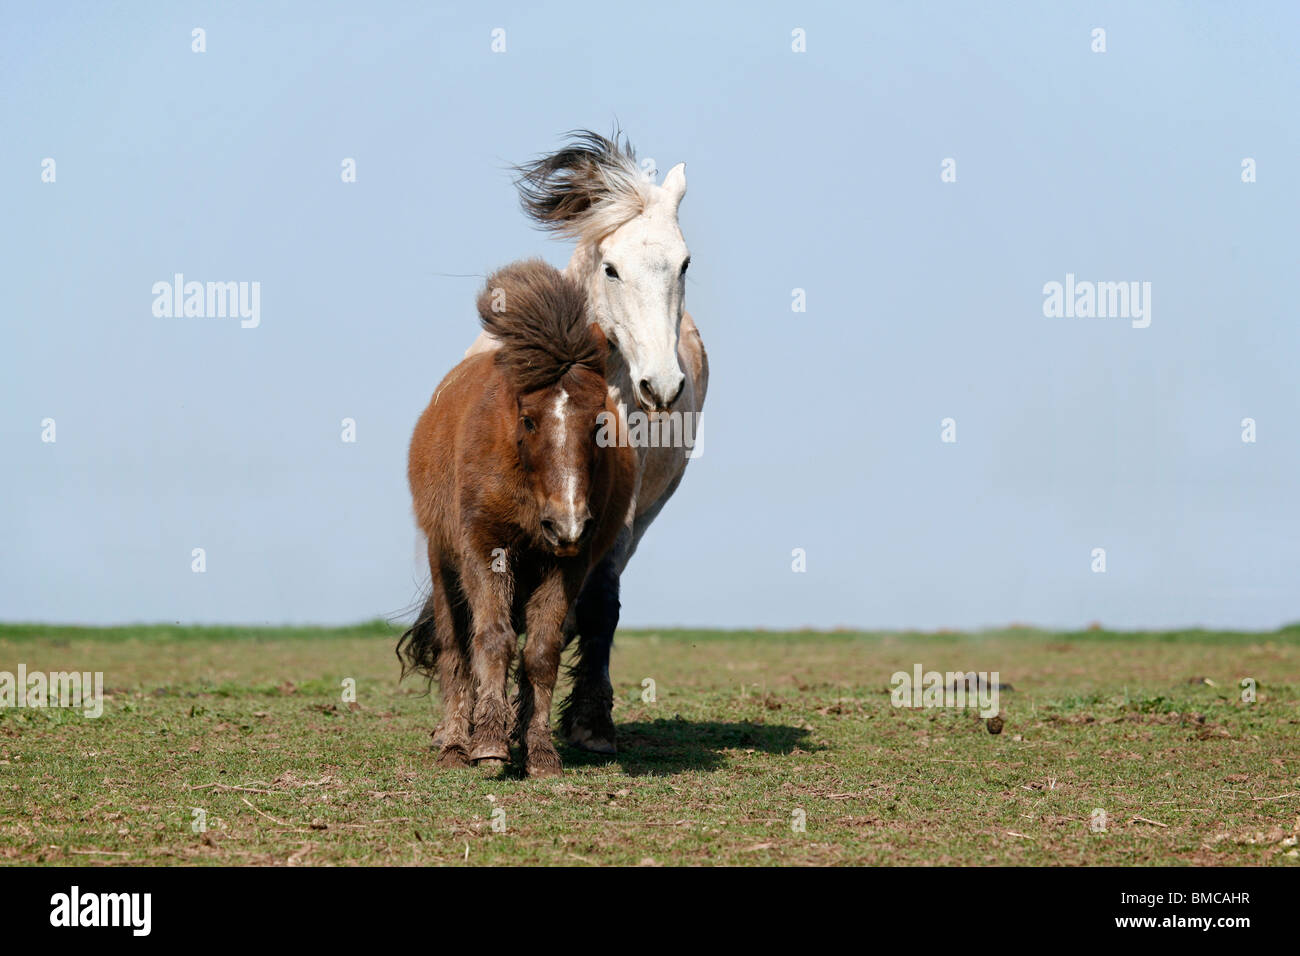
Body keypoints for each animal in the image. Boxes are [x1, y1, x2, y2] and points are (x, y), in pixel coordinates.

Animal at [398, 260, 636, 777]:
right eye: (527, 418)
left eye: (599, 421)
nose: (566, 525)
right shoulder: (486, 550)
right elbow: (491, 641)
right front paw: (487, 746)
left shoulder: (568, 563)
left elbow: (541, 653)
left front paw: (540, 752)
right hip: (444, 564)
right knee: (455, 646)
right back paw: (454, 741)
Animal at [464, 130, 710, 754]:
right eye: (612, 269)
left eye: (684, 262)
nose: (661, 385)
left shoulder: (619, 508)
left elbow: (599, 604)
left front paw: (590, 723)